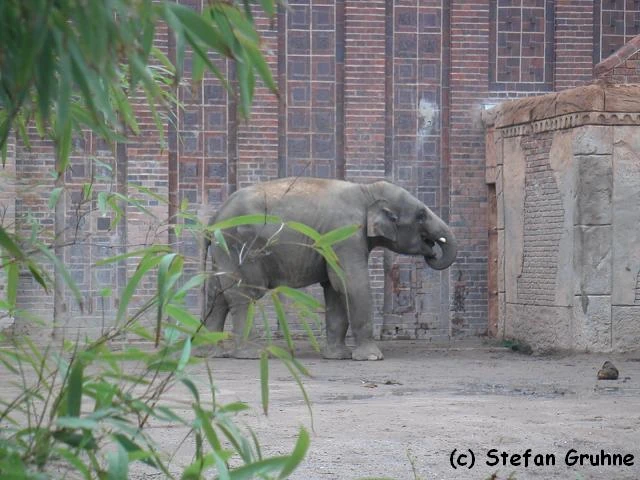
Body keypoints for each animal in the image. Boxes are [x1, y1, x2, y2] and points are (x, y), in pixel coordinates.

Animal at [201, 177, 457, 360]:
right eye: (421, 215)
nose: (433, 252)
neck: (367, 191)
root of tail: (214, 217)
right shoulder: (344, 235)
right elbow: (351, 283)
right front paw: (371, 357)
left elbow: (334, 288)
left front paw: (338, 356)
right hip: (239, 246)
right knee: (245, 294)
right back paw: (251, 355)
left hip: (222, 252)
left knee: (217, 294)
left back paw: (212, 354)